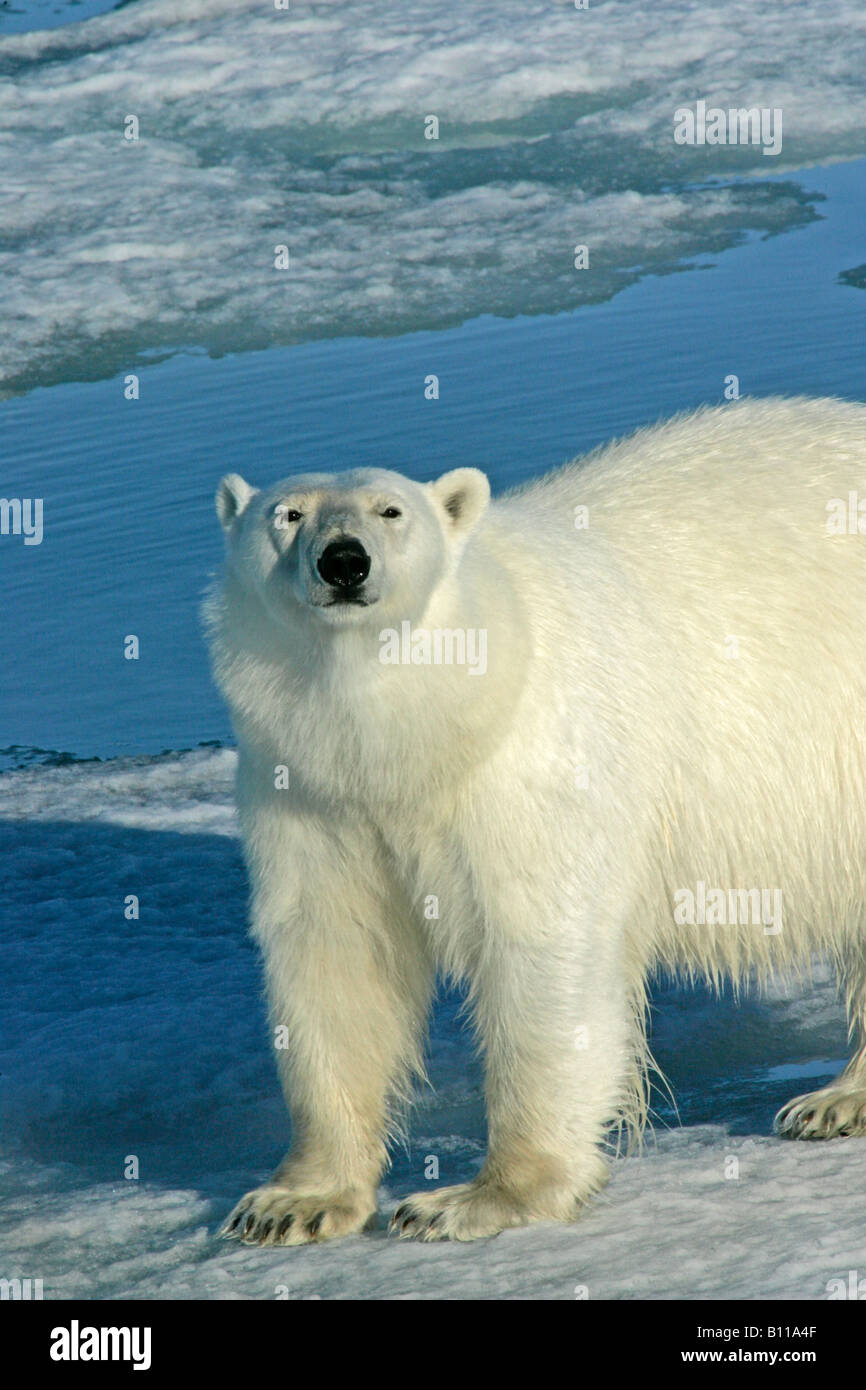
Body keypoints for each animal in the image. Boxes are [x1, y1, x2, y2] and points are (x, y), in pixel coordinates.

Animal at [205, 395, 866, 1245]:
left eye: (391, 510)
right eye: (287, 514)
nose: (344, 561)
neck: (416, 731)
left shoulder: (530, 759)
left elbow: (540, 944)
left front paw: (474, 1198)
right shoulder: (312, 790)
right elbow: (336, 952)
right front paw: (294, 1201)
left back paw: (833, 1098)